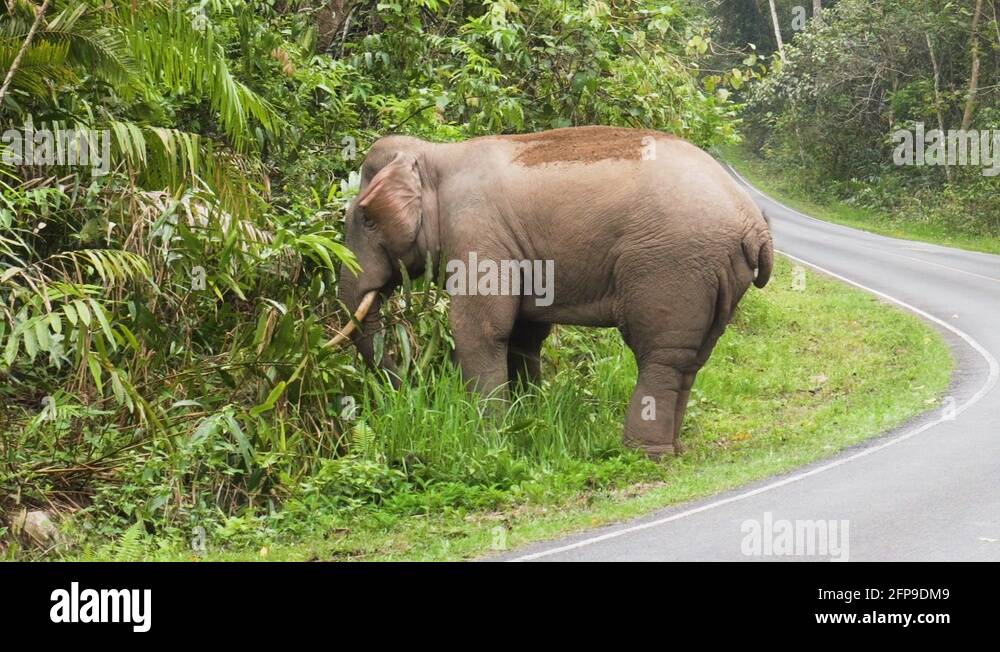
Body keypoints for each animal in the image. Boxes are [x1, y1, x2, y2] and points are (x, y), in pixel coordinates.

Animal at [335, 126, 773, 458]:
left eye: (367, 219)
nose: (411, 388)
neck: (435, 155)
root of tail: (754, 223)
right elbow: (524, 334)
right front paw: (527, 419)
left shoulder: (479, 232)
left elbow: (481, 330)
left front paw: (490, 440)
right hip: (716, 274)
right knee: (692, 359)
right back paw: (672, 449)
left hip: (673, 267)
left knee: (661, 356)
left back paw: (641, 454)